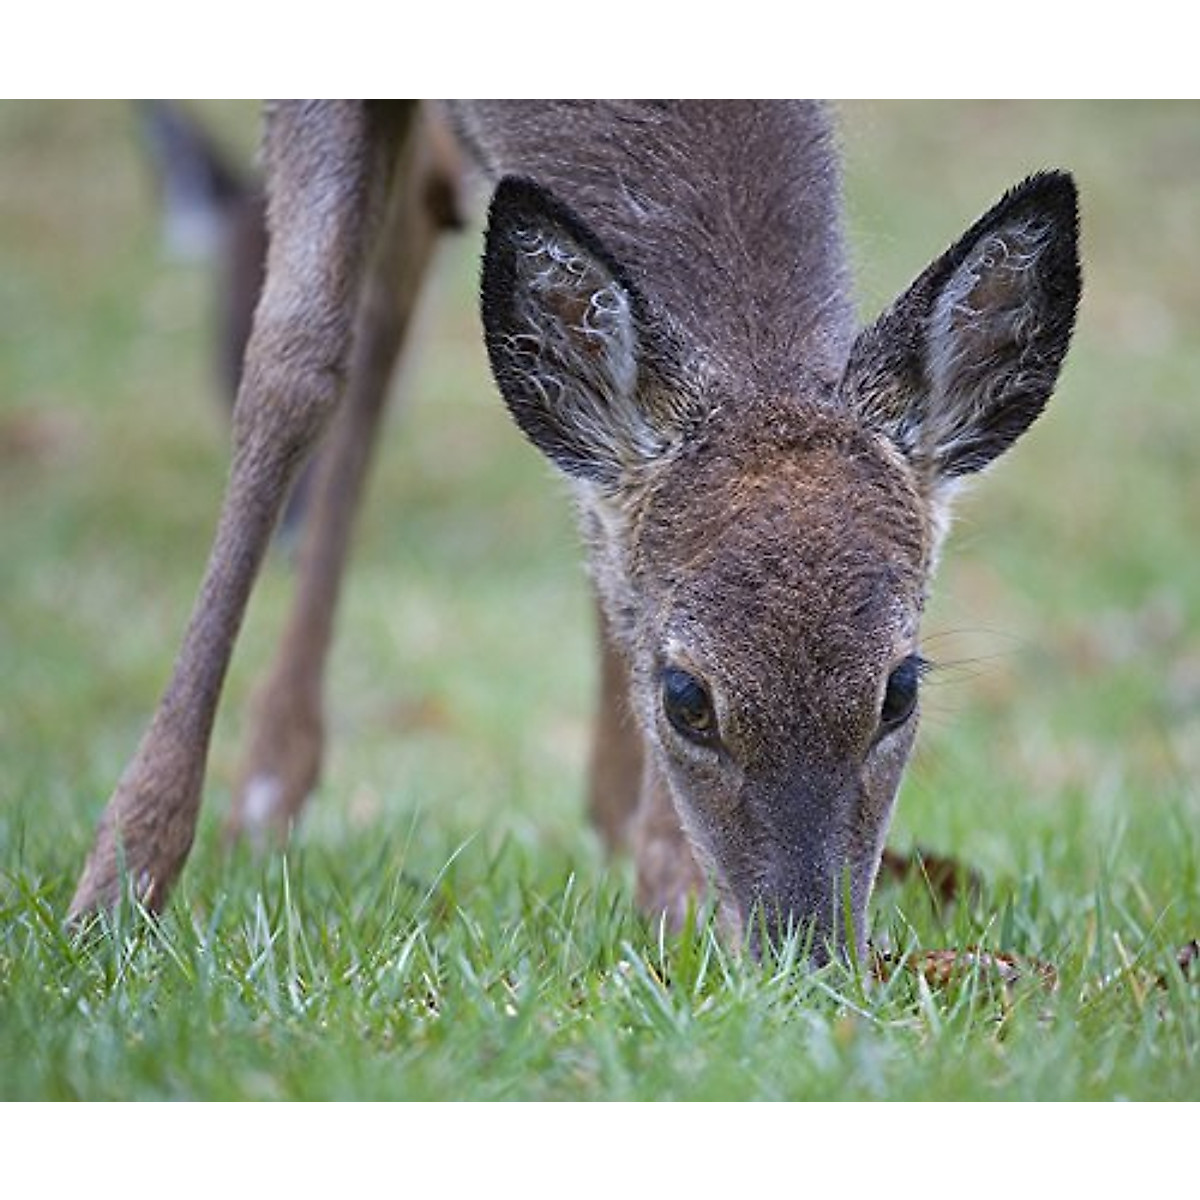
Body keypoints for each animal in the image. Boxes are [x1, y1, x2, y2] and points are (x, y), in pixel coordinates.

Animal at [70, 101, 1080, 962]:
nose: (808, 955)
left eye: (900, 689)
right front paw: (119, 882)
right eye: (686, 697)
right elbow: (295, 359)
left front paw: (669, 888)